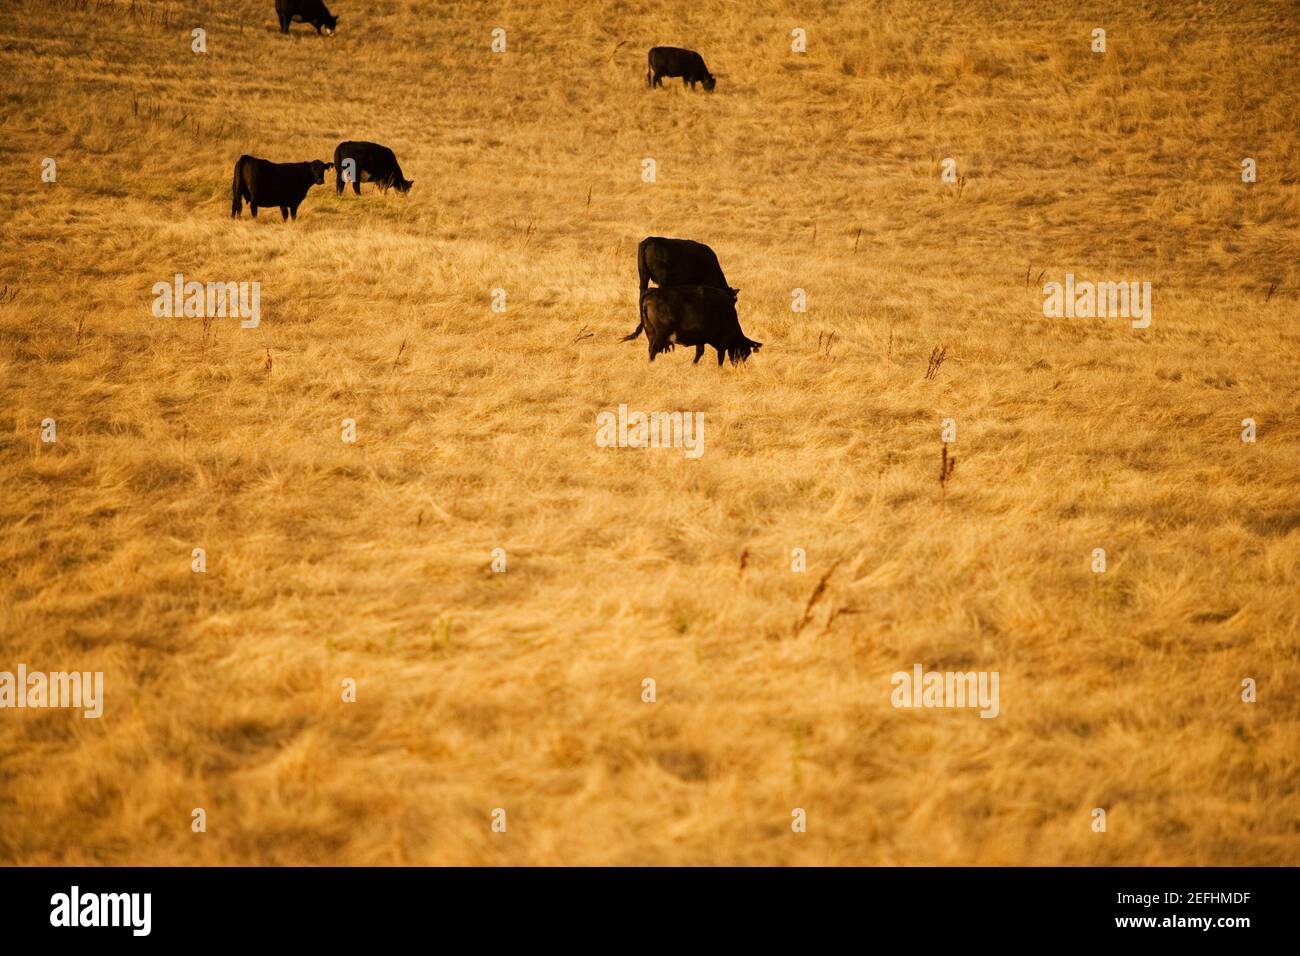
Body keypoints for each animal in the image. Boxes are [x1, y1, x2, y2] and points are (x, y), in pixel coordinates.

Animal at [631, 286, 762, 366]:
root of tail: (652, 291)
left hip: (650, 331)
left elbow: (699, 352)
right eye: (744, 352)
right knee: (654, 349)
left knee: (650, 350)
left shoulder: (701, 338)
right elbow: (720, 358)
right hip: (661, 332)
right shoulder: (723, 342)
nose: (740, 367)